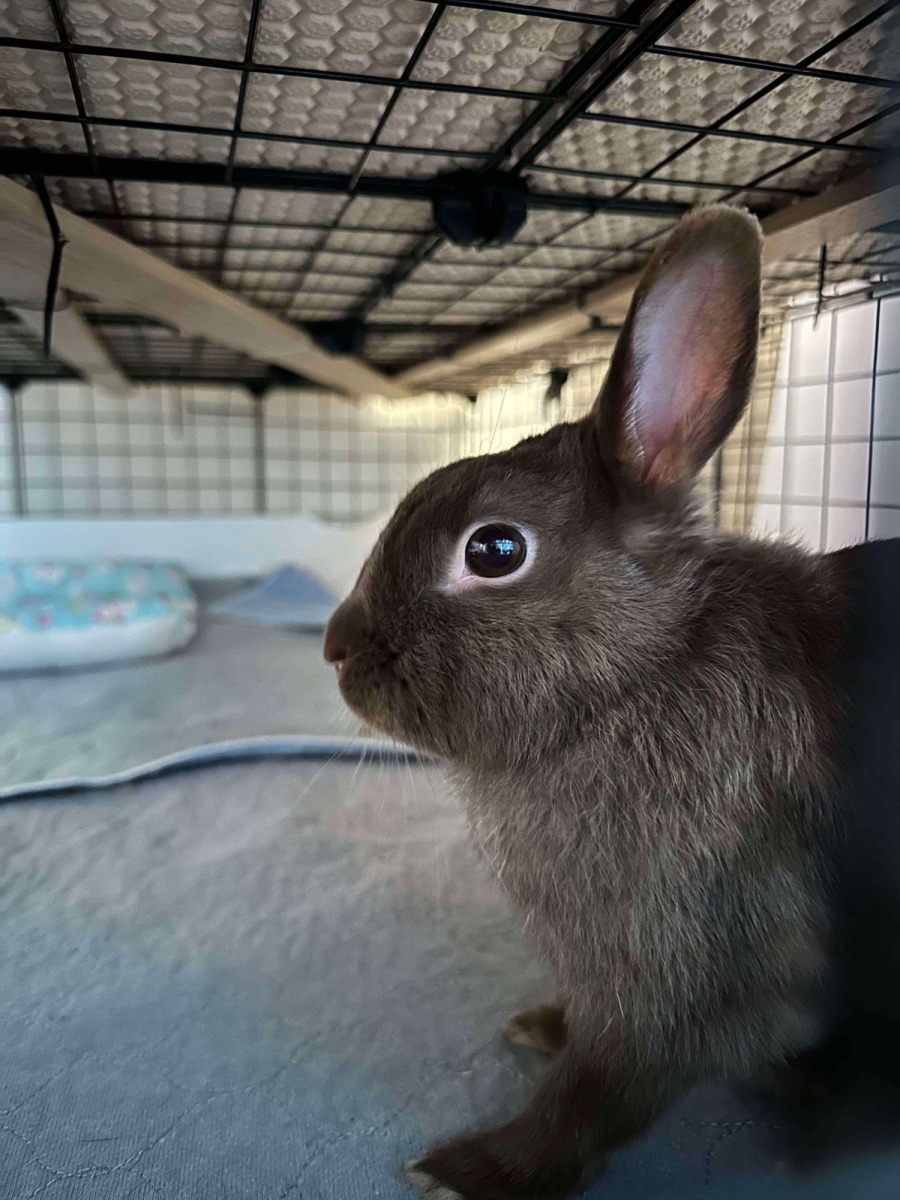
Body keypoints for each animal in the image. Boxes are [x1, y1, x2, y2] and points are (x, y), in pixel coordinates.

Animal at [323, 206, 857, 1199]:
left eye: (494, 550)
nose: (336, 647)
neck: (639, 673)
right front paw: (541, 1026)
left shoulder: (694, 966)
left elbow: (599, 1090)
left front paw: (474, 1171)